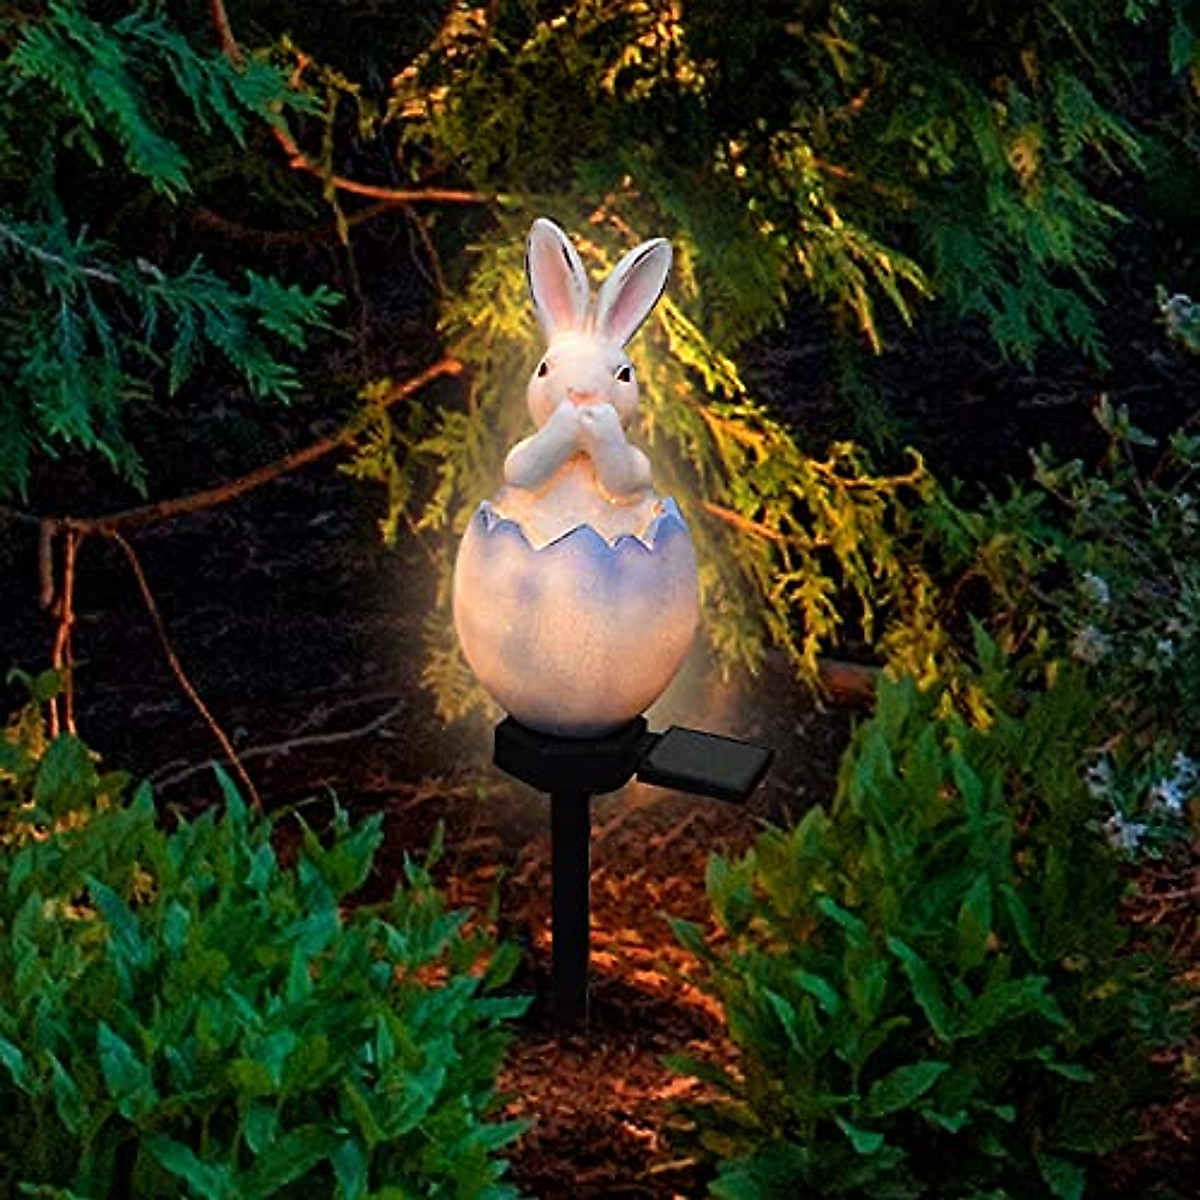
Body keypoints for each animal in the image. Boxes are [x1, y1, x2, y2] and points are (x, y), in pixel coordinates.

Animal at [494, 218, 672, 547]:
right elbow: (523, 466)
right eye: (542, 368)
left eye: (625, 375)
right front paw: (569, 417)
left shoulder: (641, 473)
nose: (582, 395)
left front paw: (599, 419)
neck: (579, 457)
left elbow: (624, 476)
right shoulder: (518, 465)